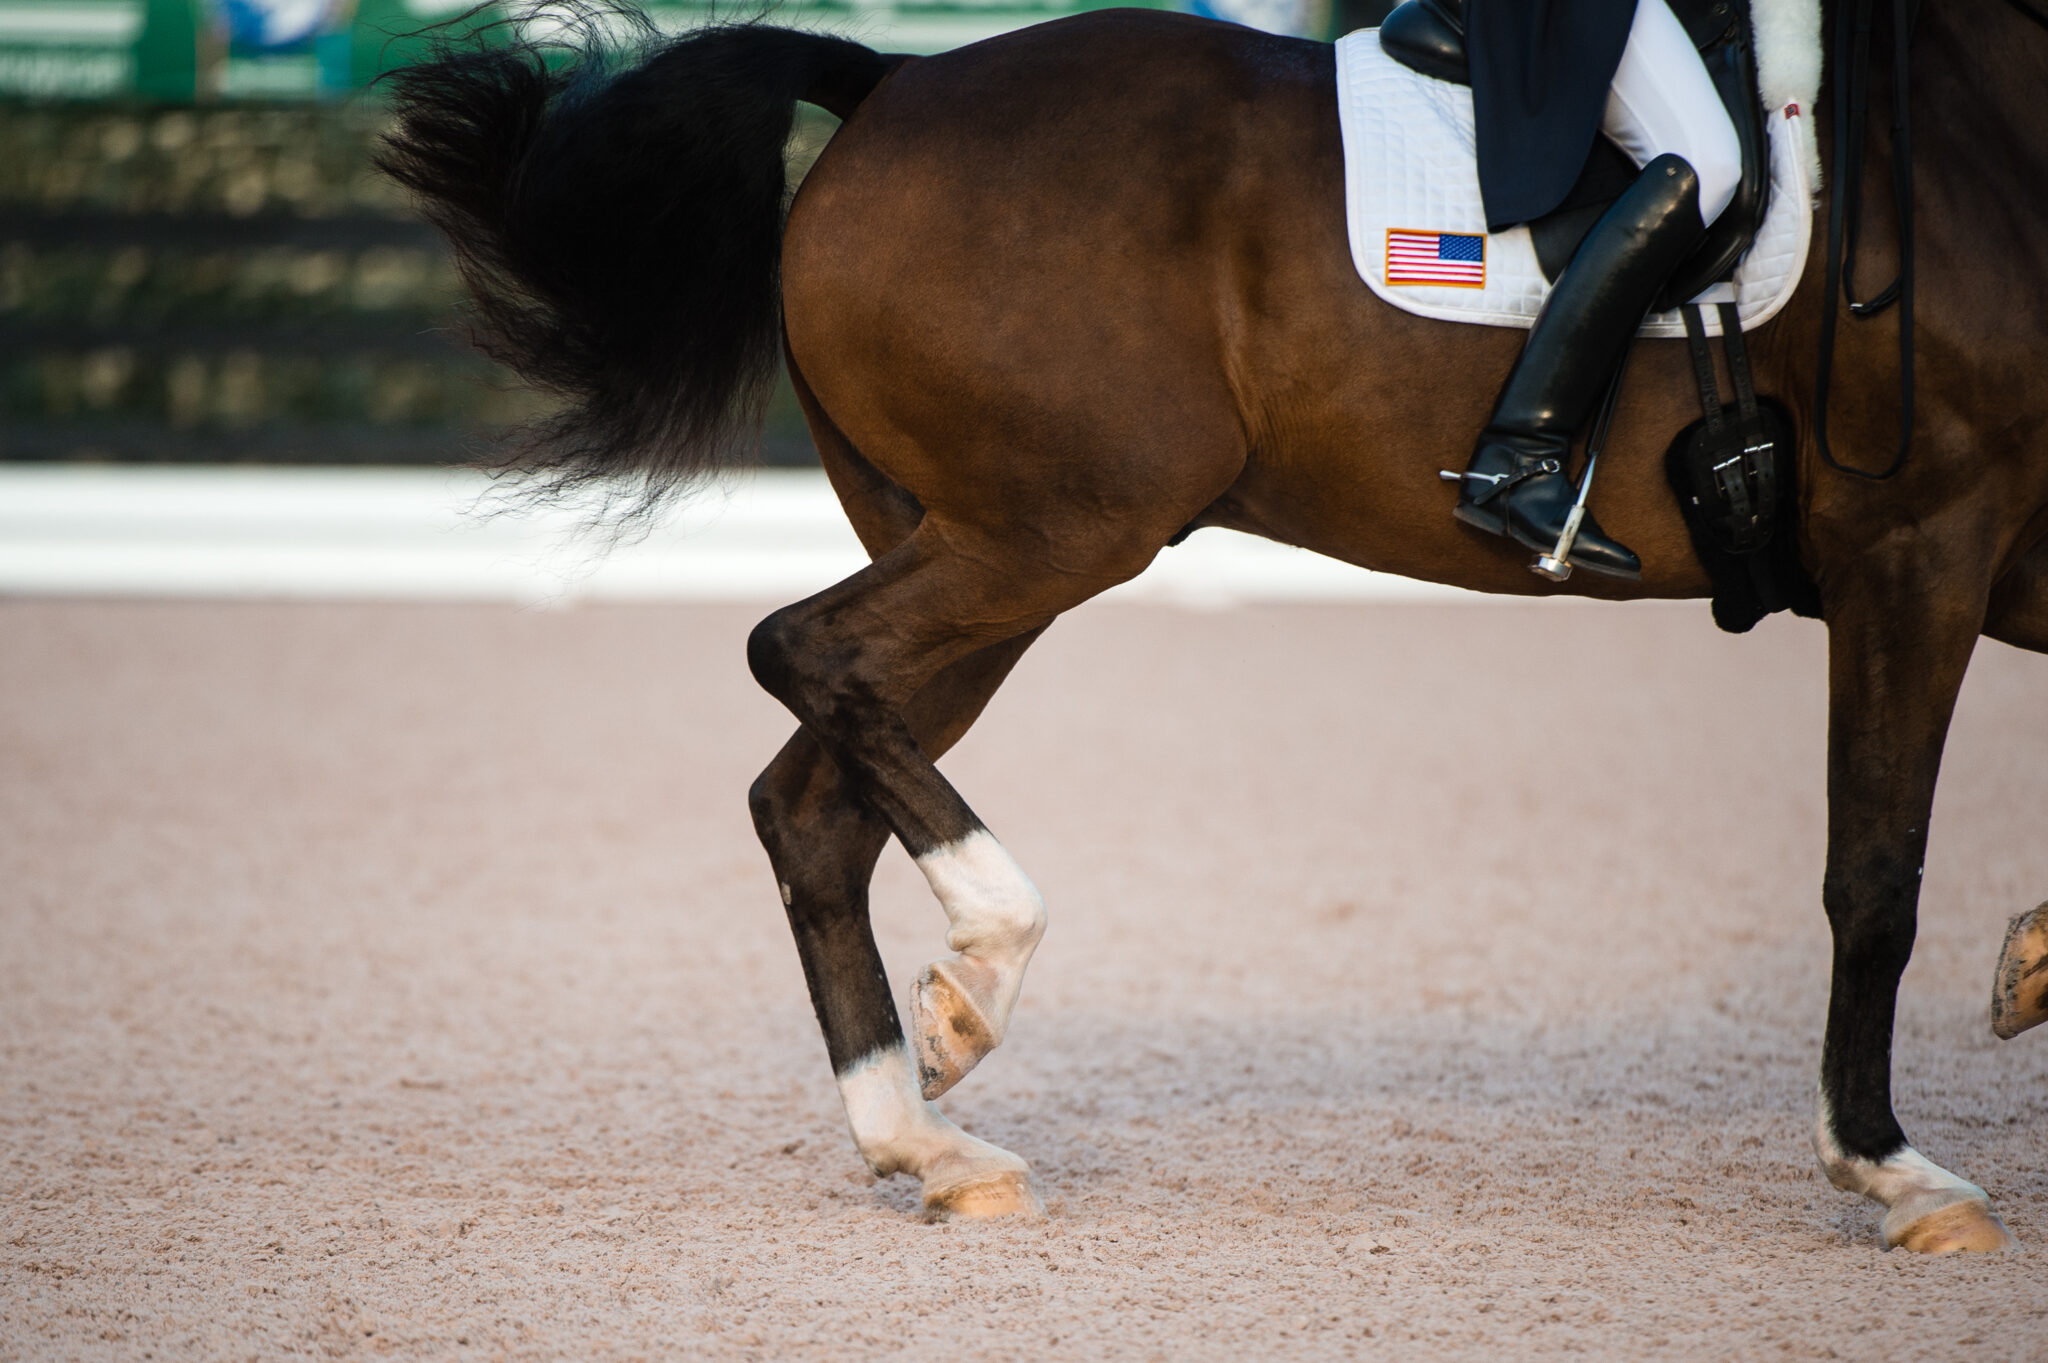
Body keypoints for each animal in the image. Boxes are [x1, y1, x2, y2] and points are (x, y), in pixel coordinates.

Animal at [379, 0, 2048, 1251]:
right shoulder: (1917, 543)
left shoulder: (2007, 558)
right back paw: (981, 971)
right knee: (806, 658)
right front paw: (1895, 1167)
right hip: (1052, 528)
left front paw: (2028, 968)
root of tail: (896, 80)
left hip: (987, 545)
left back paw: (926, 1135)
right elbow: (1876, 872)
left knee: (814, 798)